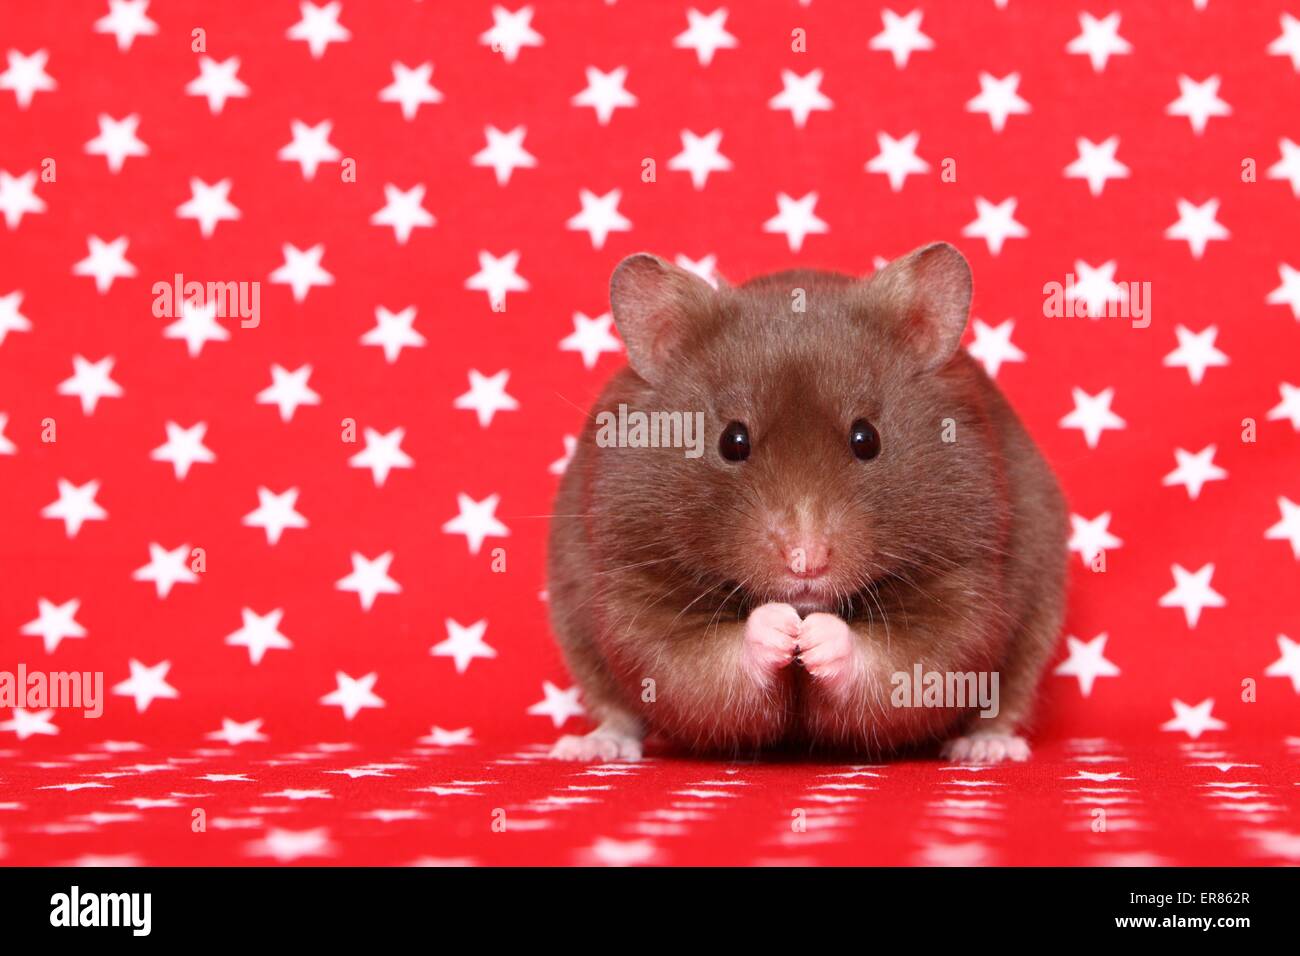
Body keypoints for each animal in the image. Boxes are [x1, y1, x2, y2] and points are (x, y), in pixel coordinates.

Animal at [546, 242, 1068, 764]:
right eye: (732, 441)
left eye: (866, 438)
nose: (806, 561)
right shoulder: (632, 578)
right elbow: (693, 667)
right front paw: (782, 628)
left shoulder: (966, 572)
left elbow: (912, 663)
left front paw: (814, 636)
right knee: (616, 710)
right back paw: (588, 748)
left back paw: (986, 749)